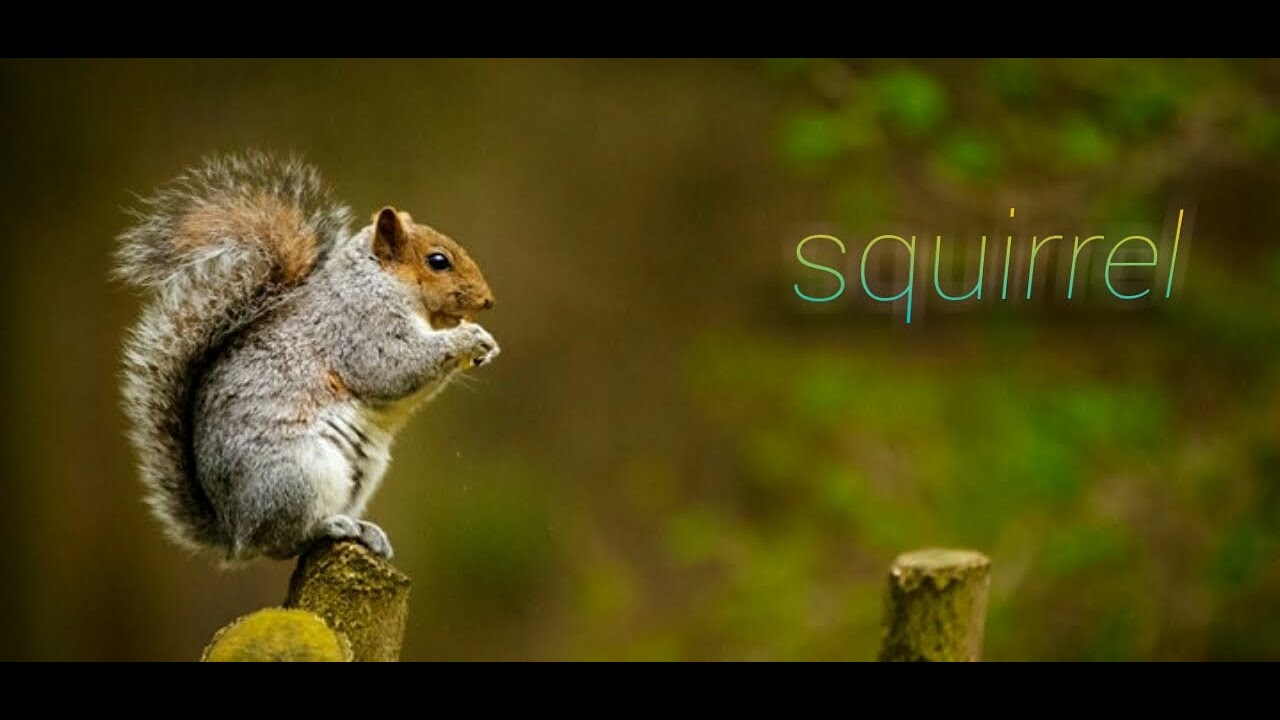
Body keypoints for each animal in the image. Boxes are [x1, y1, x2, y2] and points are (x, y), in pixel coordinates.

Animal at [114, 152, 499, 563]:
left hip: (359, 474)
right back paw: (330, 526)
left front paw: (485, 345)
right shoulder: (361, 327)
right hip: (299, 473)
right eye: (438, 261)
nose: (488, 300)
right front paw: (468, 338)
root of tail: (234, 531)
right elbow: (394, 367)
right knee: (283, 541)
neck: (379, 280)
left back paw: (366, 530)